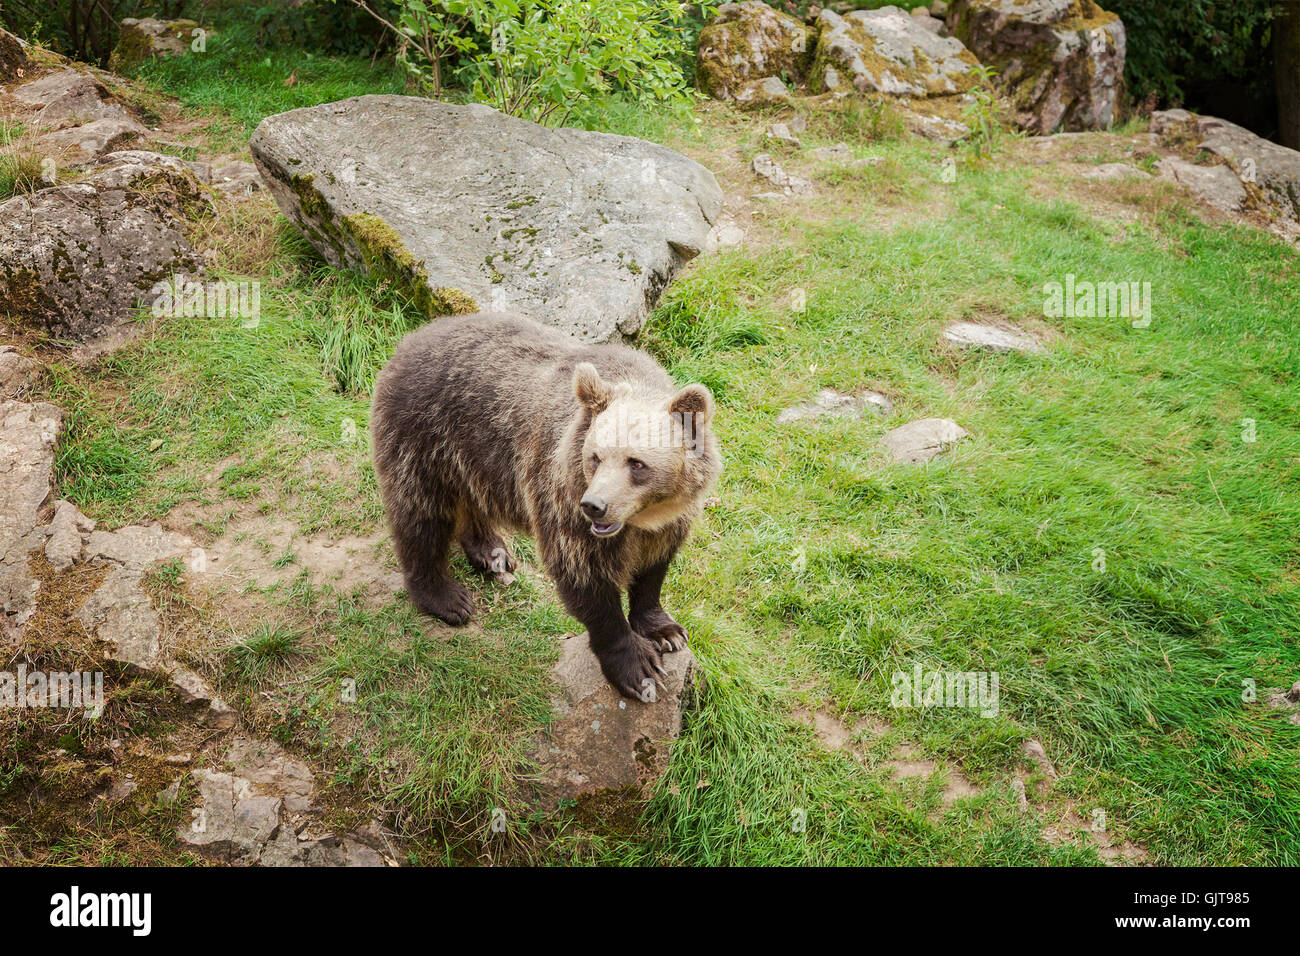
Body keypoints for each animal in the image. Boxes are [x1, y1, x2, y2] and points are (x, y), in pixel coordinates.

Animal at [369, 312, 721, 701]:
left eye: (636, 463)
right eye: (595, 457)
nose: (594, 506)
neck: (645, 516)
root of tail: (412, 338)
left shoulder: (671, 519)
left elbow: (653, 569)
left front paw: (665, 630)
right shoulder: (562, 493)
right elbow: (583, 575)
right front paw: (637, 666)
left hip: (476, 455)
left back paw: (491, 552)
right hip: (424, 433)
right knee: (421, 513)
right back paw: (445, 596)